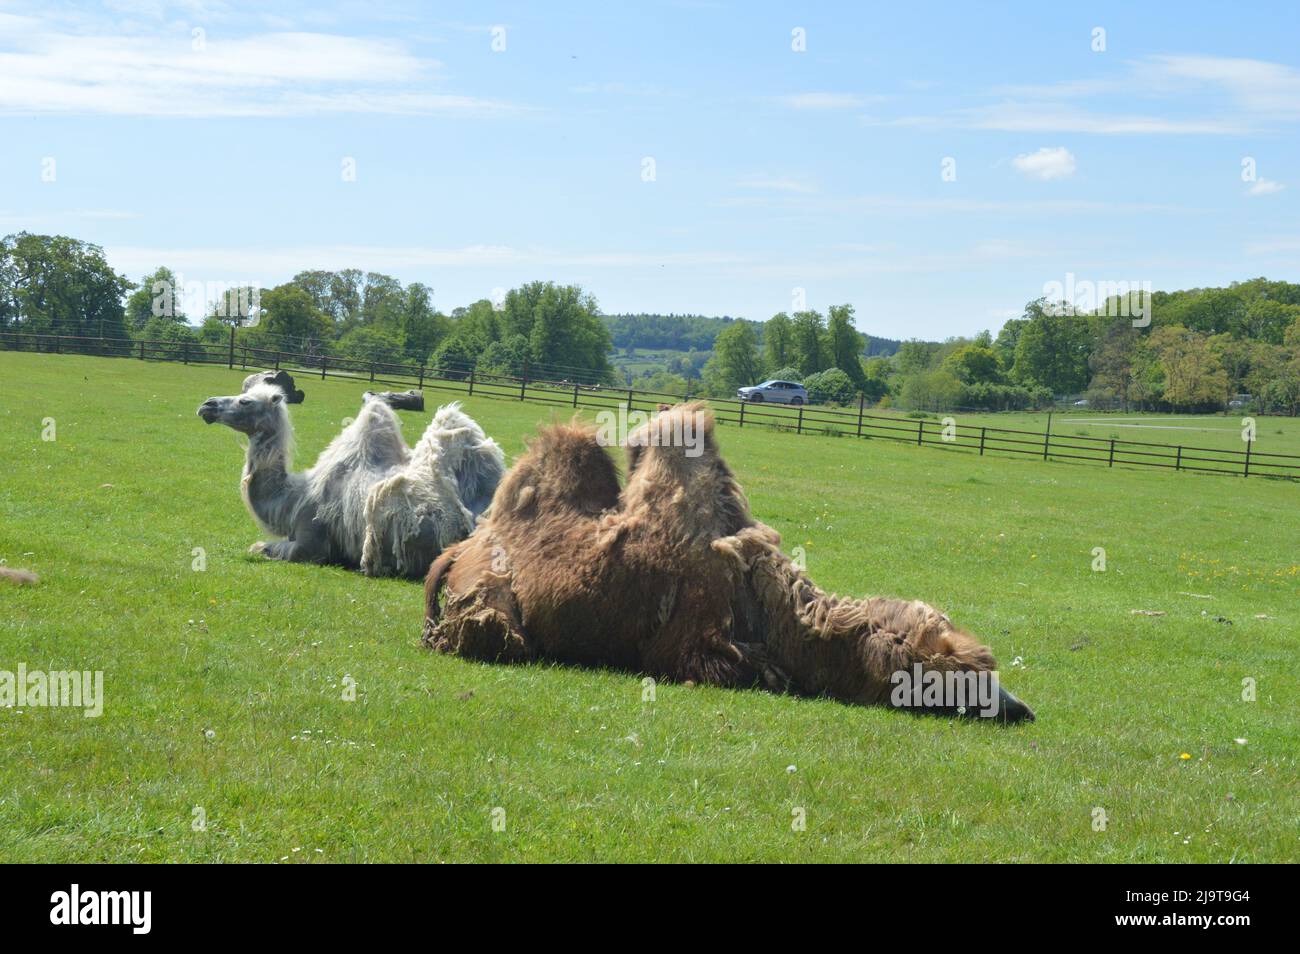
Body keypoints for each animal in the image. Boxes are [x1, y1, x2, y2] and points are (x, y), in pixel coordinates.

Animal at [423, 403, 1033, 722]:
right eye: (950, 682)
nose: (1017, 706)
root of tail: (459, 549)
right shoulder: (695, 645)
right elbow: (744, 668)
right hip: (489, 610)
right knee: (496, 635)